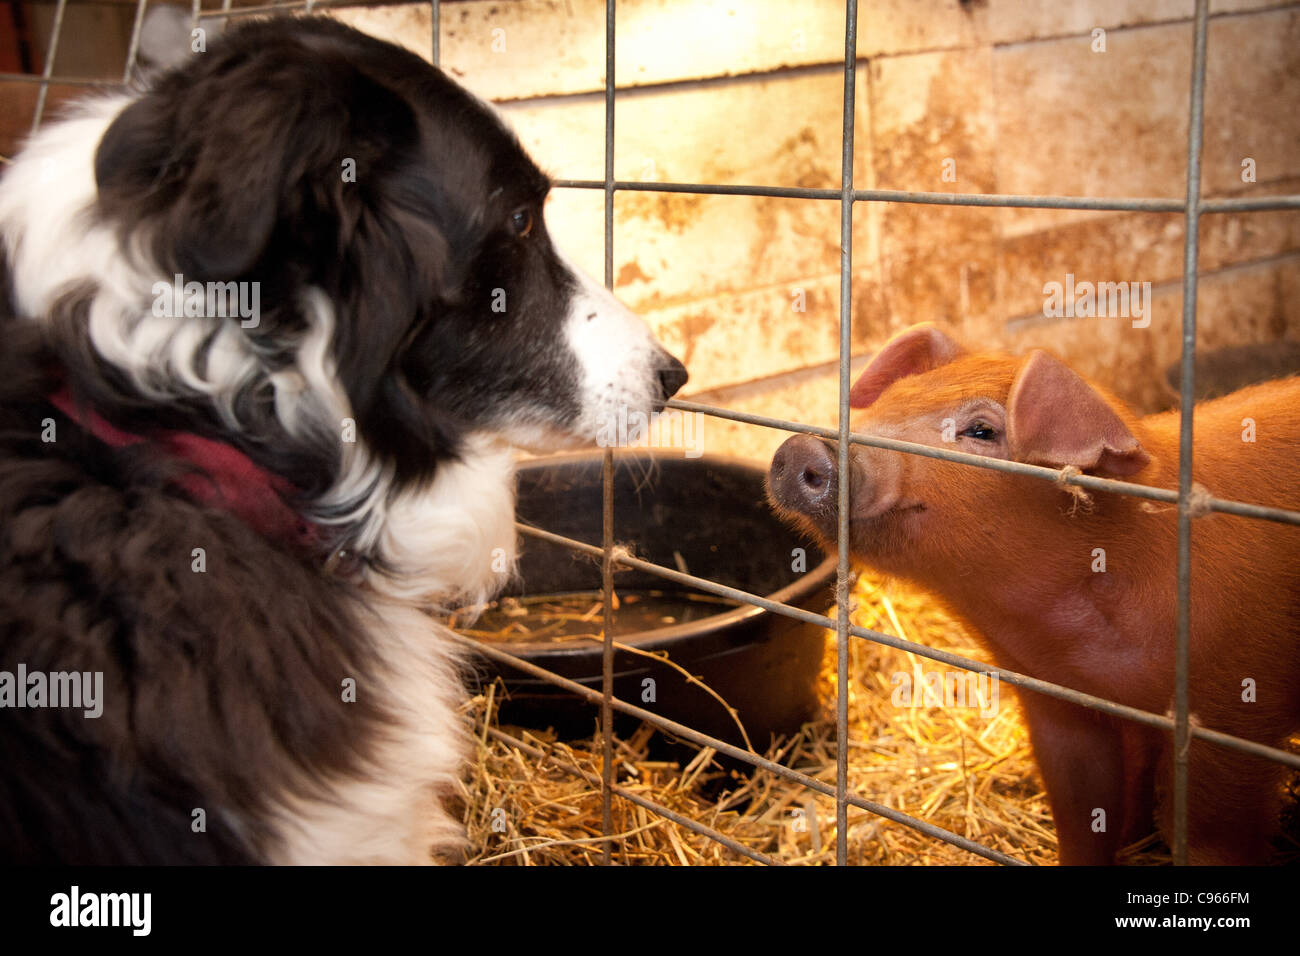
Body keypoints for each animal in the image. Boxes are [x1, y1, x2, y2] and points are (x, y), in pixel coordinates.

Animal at [767, 324, 1300, 865]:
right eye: (890, 402)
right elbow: (1079, 811)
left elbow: (1208, 832)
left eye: (981, 431)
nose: (801, 448)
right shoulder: (1056, 705)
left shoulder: (1231, 710)